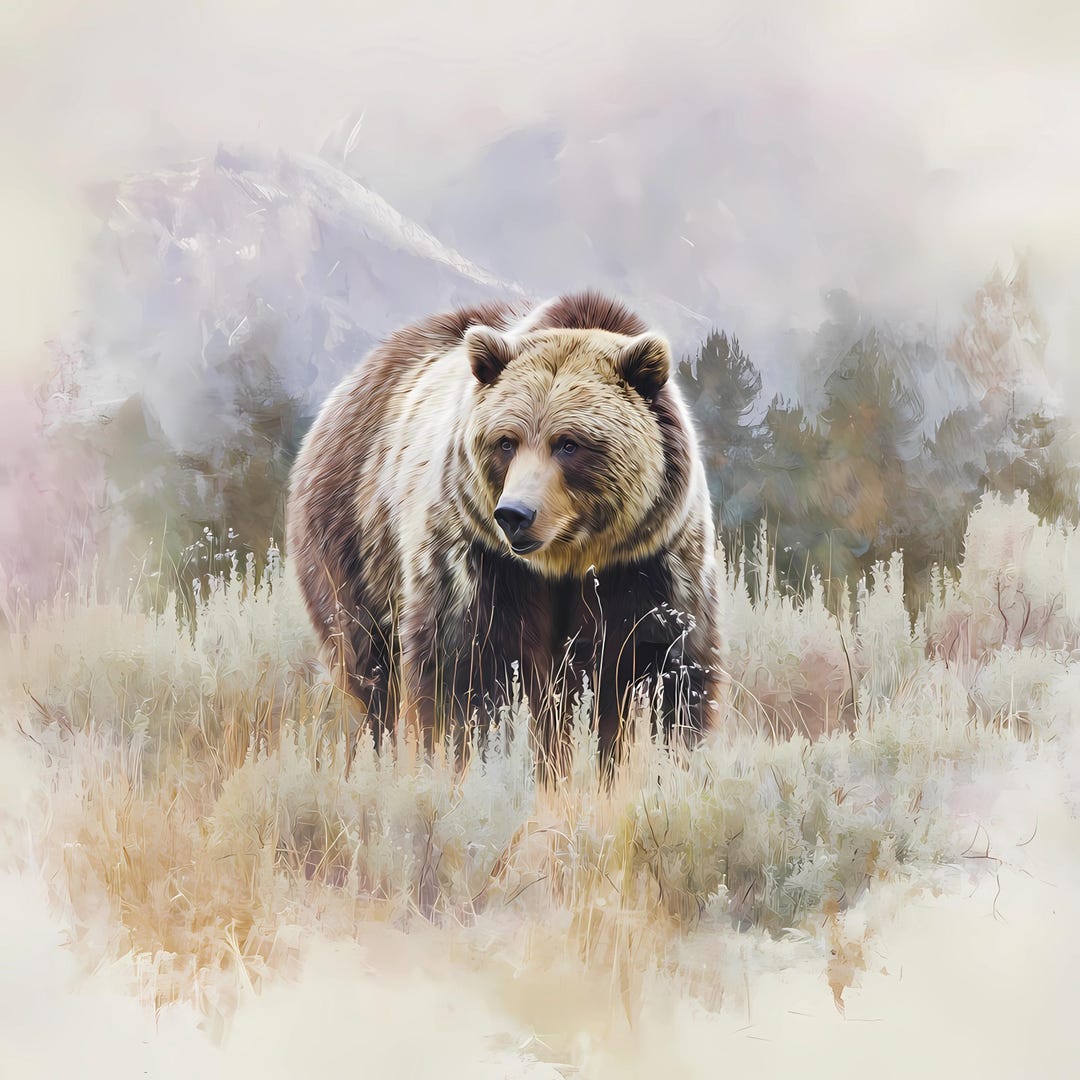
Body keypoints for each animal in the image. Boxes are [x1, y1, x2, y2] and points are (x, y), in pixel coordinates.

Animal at [286, 291, 724, 764]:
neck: (569, 560)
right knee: (367, 664)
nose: (515, 514)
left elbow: (674, 671)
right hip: (352, 539)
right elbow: (459, 668)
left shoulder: (652, 562)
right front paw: (460, 753)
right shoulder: (478, 558)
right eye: (506, 441)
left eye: (569, 444)